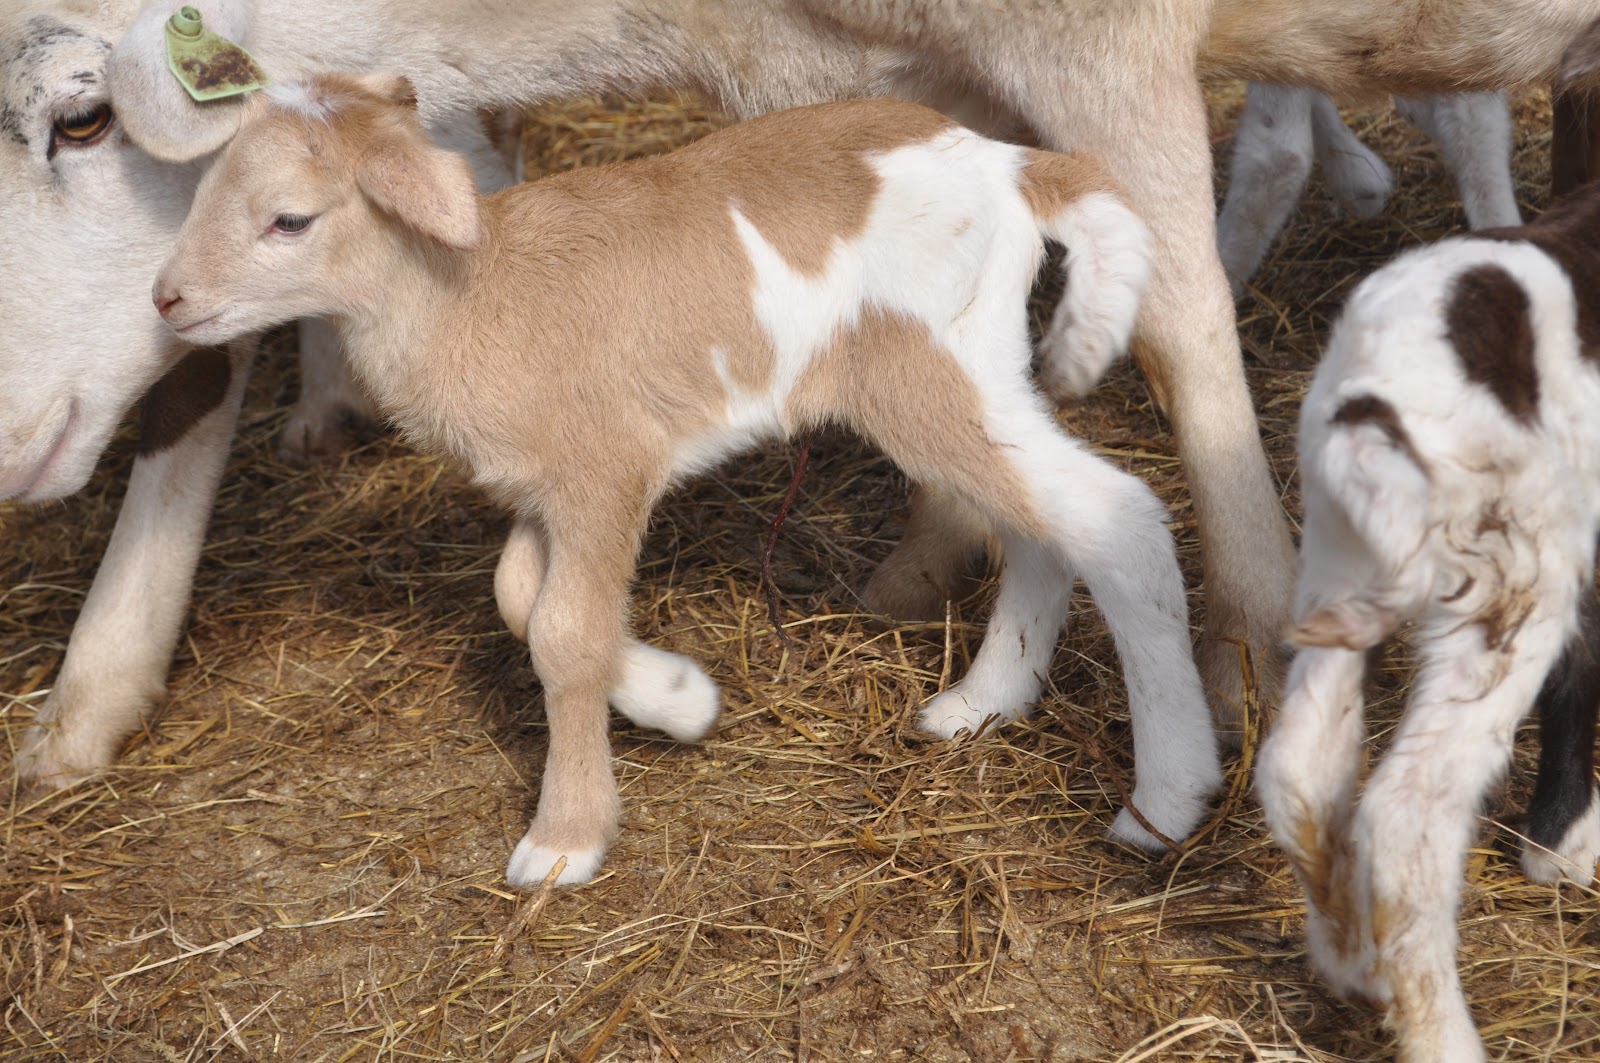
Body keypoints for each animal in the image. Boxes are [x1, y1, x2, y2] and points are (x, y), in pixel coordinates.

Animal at [148, 73, 1223, 886]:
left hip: (924, 371)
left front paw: (565, 839)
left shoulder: (606, 466)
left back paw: (1165, 799)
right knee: (1044, 524)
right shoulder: (549, 484)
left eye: (289, 220)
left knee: (1120, 517)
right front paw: (678, 698)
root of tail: (1009, 165)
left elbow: (565, 634)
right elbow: (518, 598)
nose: (168, 300)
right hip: (978, 370)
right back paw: (983, 703)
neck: (471, 296)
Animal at [1255, 184, 1600, 1063]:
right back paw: (1441, 1033)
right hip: (1508, 573)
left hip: (1336, 560)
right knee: (1412, 809)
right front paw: (1563, 839)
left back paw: (1352, 961)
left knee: (1304, 762)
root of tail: (1371, 410)